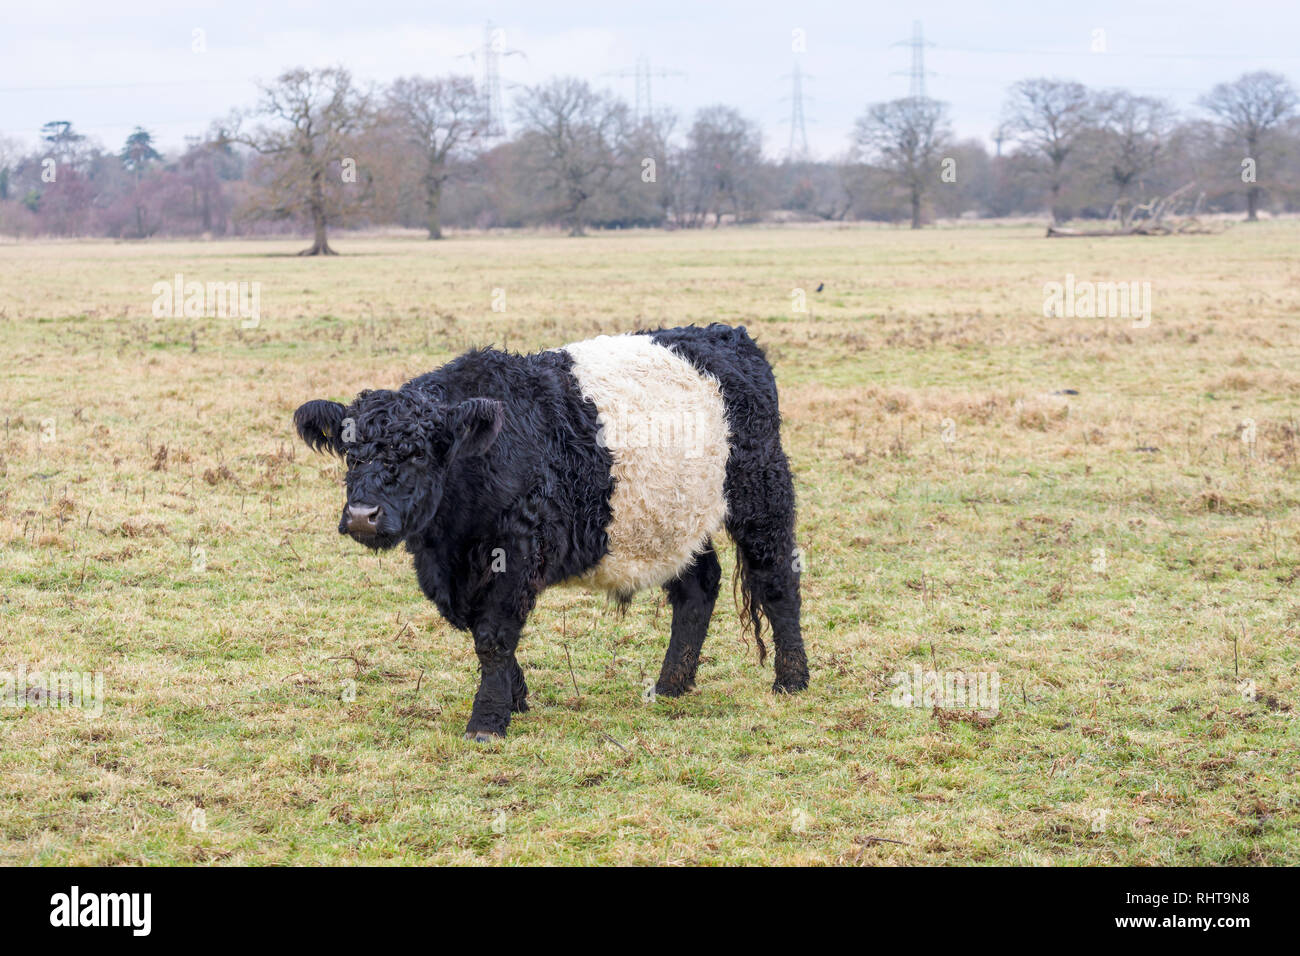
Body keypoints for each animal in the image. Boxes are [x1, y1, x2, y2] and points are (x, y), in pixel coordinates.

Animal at [293, 323, 808, 741]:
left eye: (418, 453)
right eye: (350, 453)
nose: (362, 514)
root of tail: (729, 336)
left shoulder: (518, 549)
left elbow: (493, 634)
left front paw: (487, 721)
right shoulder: (448, 569)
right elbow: (480, 631)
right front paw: (515, 698)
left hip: (761, 493)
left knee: (777, 579)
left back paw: (791, 679)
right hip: (675, 521)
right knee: (698, 587)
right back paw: (671, 686)